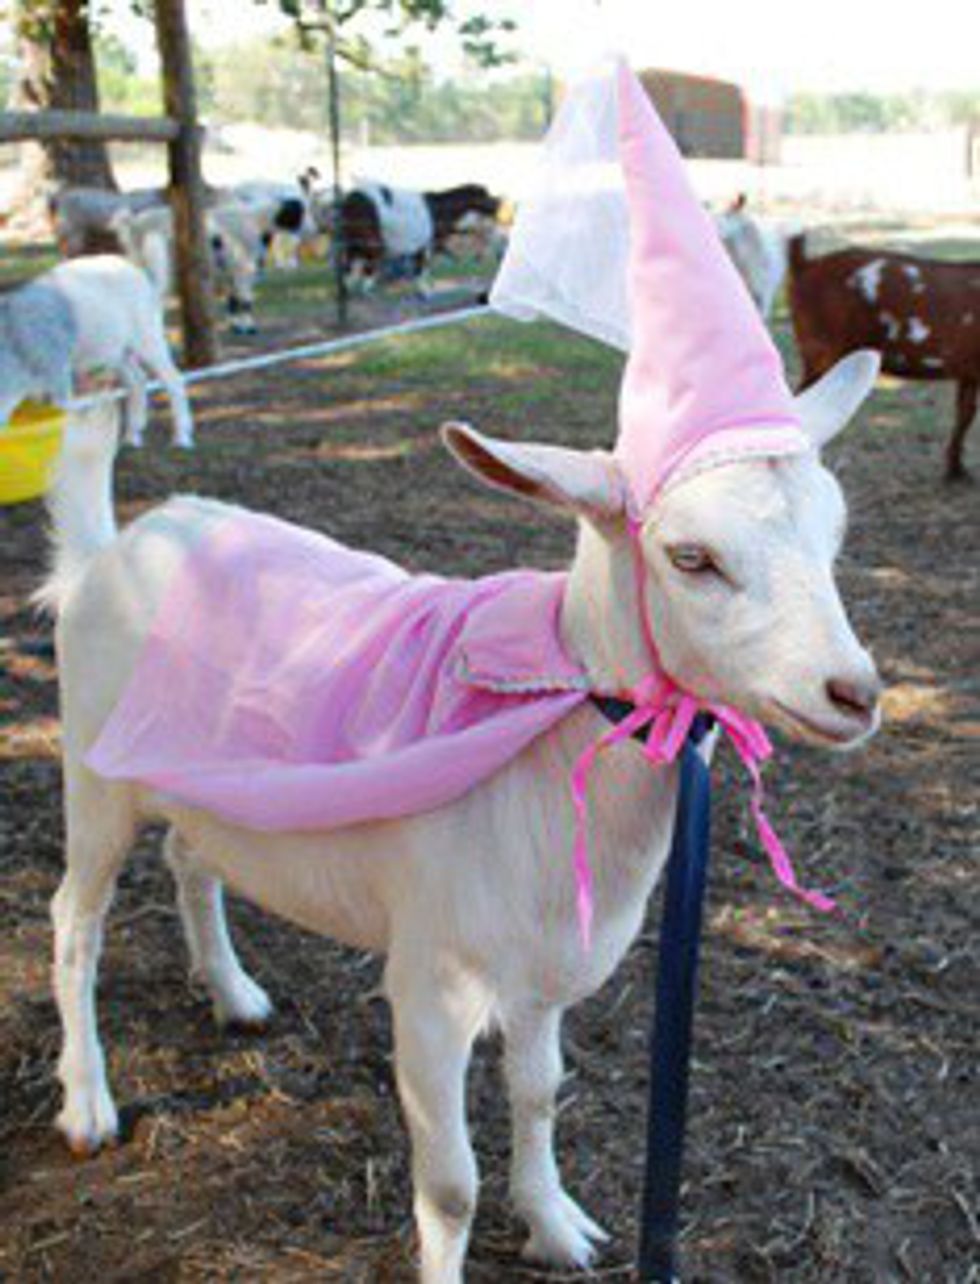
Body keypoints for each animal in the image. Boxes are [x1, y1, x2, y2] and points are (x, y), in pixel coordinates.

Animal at [0, 255, 193, 447]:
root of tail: (145, 279)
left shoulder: (57, 366)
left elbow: (62, 404)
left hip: (147, 336)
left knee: (172, 378)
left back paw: (182, 436)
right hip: (118, 351)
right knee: (137, 380)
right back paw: (132, 435)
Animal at [41, 349, 880, 1284]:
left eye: (836, 535)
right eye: (691, 556)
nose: (856, 693)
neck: (549, 763)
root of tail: (112, 548)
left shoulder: (545, 965)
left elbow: (541, 1092)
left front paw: (555, 1224)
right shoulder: (430, 986)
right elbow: (449, 1189)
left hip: (200, 783)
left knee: (191, 860)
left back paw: (233, 993)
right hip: (94, 775)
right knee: (75, 921)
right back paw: (88, 1104)